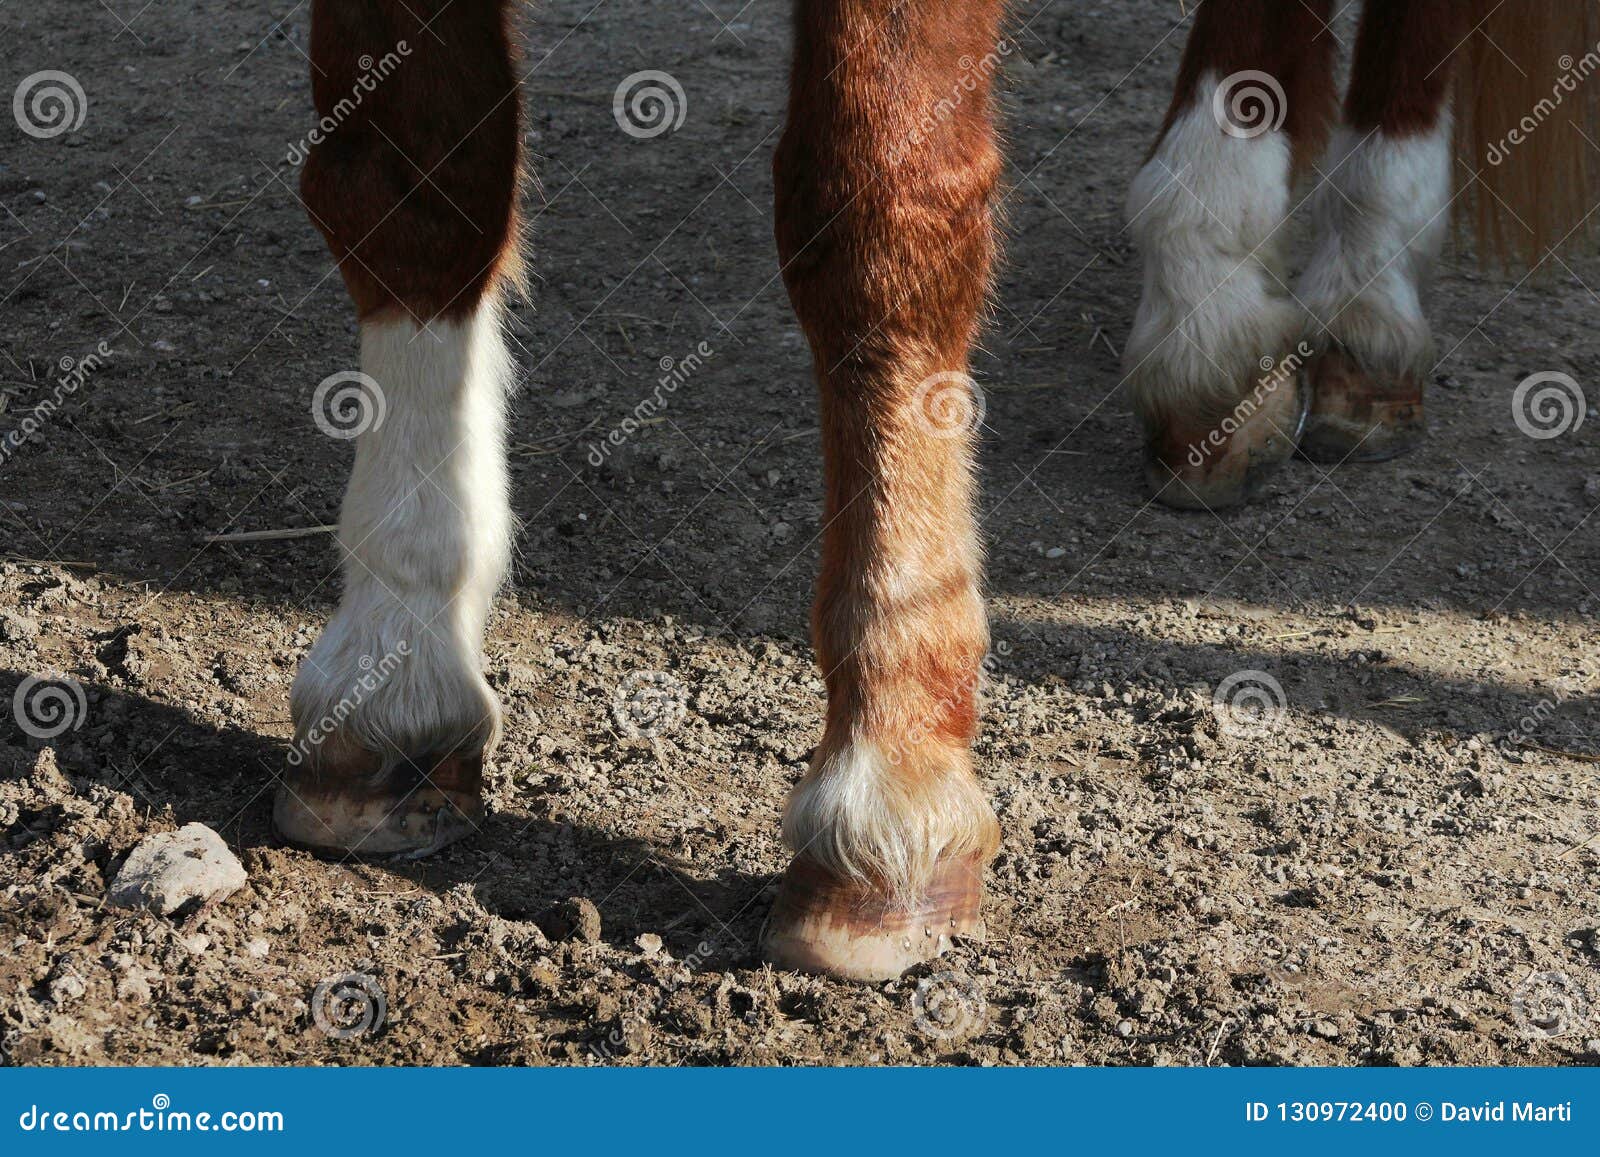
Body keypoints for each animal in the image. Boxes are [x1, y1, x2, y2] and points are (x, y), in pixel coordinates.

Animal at [274, 0, 1598, 982]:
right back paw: (1216, 311)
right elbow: (413, 163)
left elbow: (882, 192)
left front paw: (894, 776)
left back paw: (1348, 288)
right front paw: (399, 660)